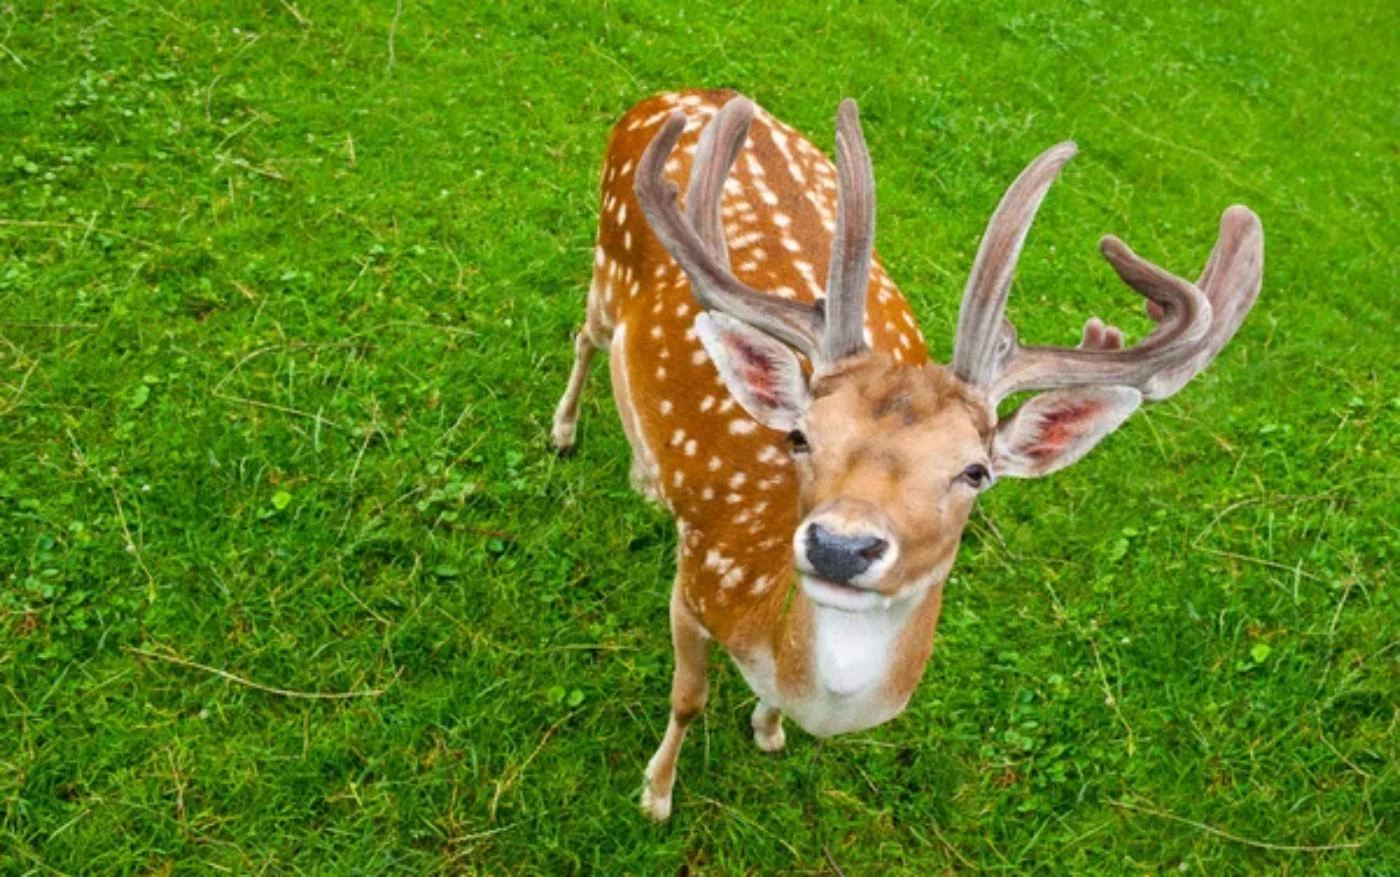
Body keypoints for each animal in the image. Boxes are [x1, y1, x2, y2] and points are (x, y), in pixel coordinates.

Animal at [550, 89, 1263, 821]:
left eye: (975, 471)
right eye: (801, 435)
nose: (840, 545)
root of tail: (677, 97)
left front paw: (768, 731)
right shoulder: (698, 578)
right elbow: (688, 698)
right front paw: (655, 795)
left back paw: (644, 474)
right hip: (607, 259)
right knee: (586, 336)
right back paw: (564, 431)